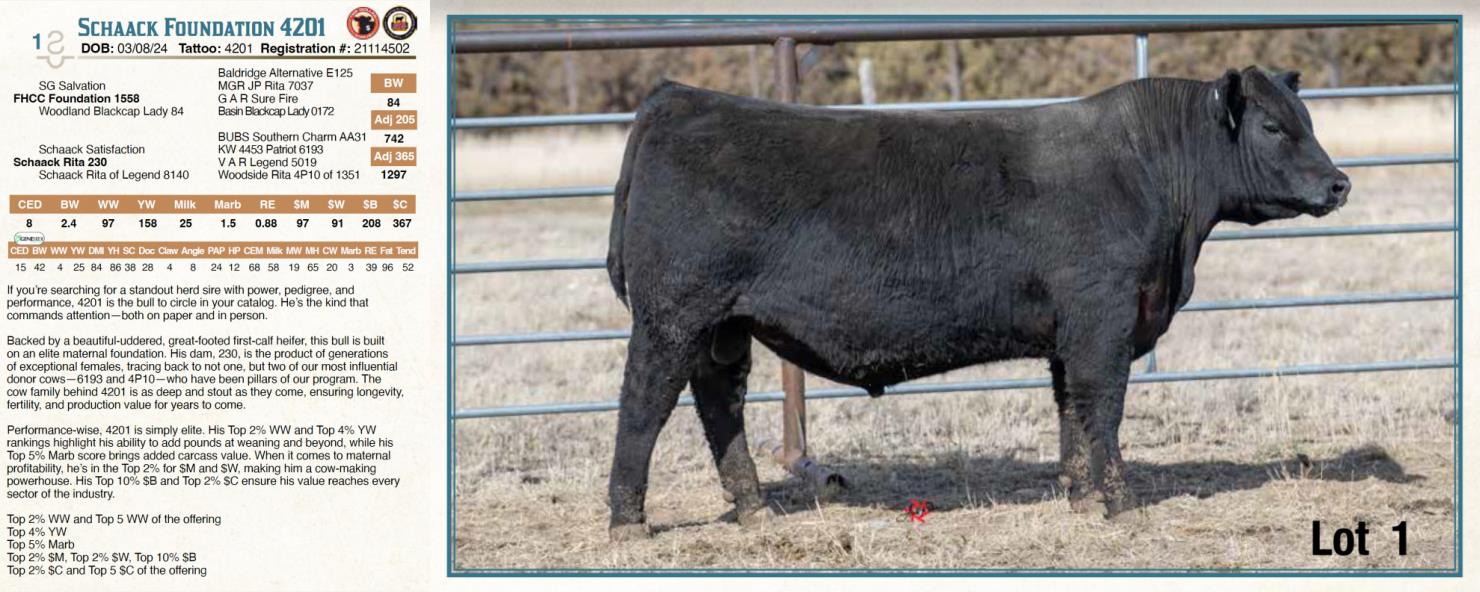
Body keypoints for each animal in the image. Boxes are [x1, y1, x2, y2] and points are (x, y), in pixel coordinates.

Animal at [603, 67, 1350, 540]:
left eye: (1307, 119)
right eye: (1272, 127)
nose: (1340, 183)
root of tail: (677, 99)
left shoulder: (1070, 334)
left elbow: (1073, 414)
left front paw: (1081, 499)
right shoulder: (1103, 321)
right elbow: (1104, 412)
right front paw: (1122, 506)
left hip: (724, 326)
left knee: (719, 402)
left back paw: (753, 508)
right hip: (673, 315)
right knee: (644, 404)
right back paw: (628, 521)